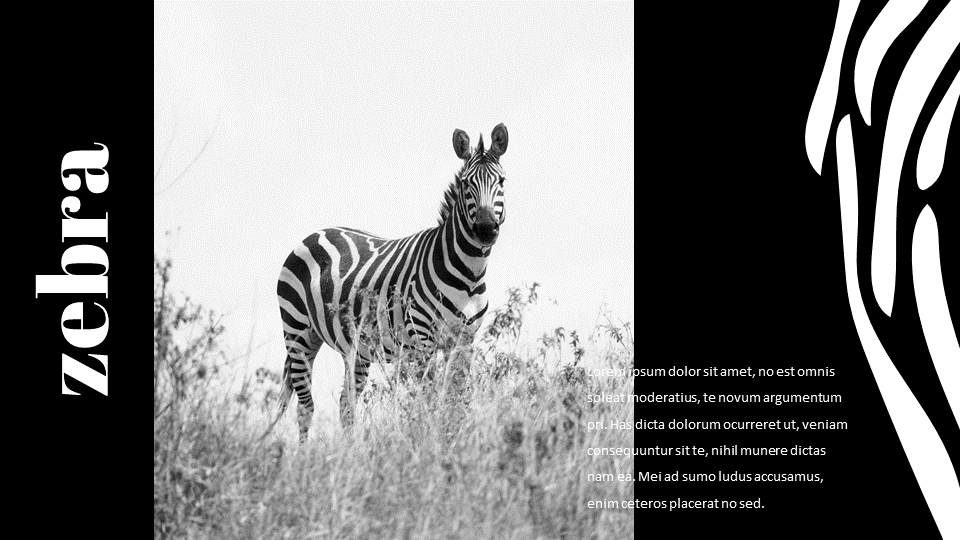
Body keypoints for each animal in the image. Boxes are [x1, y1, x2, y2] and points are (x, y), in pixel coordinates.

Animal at [277, 124, 508, 443]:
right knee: (305, 407)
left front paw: (454, 443)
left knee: (346, 406)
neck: (469, 275)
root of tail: (315, 233)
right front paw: (429, 442)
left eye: (501, 181)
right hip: (298, 333)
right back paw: (305, 455)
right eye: (465, 184)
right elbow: (429, 401)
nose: (485, 229)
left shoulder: (464, 339)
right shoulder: (422, 338)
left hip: (355, 350)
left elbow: (458, 401)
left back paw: (352, 453)